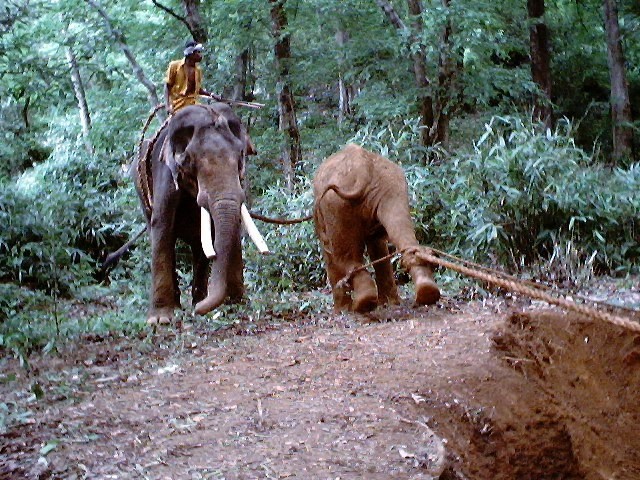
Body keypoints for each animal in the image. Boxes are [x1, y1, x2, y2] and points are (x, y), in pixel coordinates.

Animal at [133, 102, 256, 325]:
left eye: (240, 156)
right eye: (190, 161)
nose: (198, 311)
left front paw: (237, 304)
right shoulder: (165, 174)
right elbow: (161, 226)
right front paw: (160, 320)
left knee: (199, 247)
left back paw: (197, 299)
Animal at [312, 144, 440, 313]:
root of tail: (362, 165)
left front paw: (341, 311)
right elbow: (377, 242)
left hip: (333, 200)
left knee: (343, 256)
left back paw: (363, 304)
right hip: (391, 185)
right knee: (398, 224)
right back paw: (425, 292)